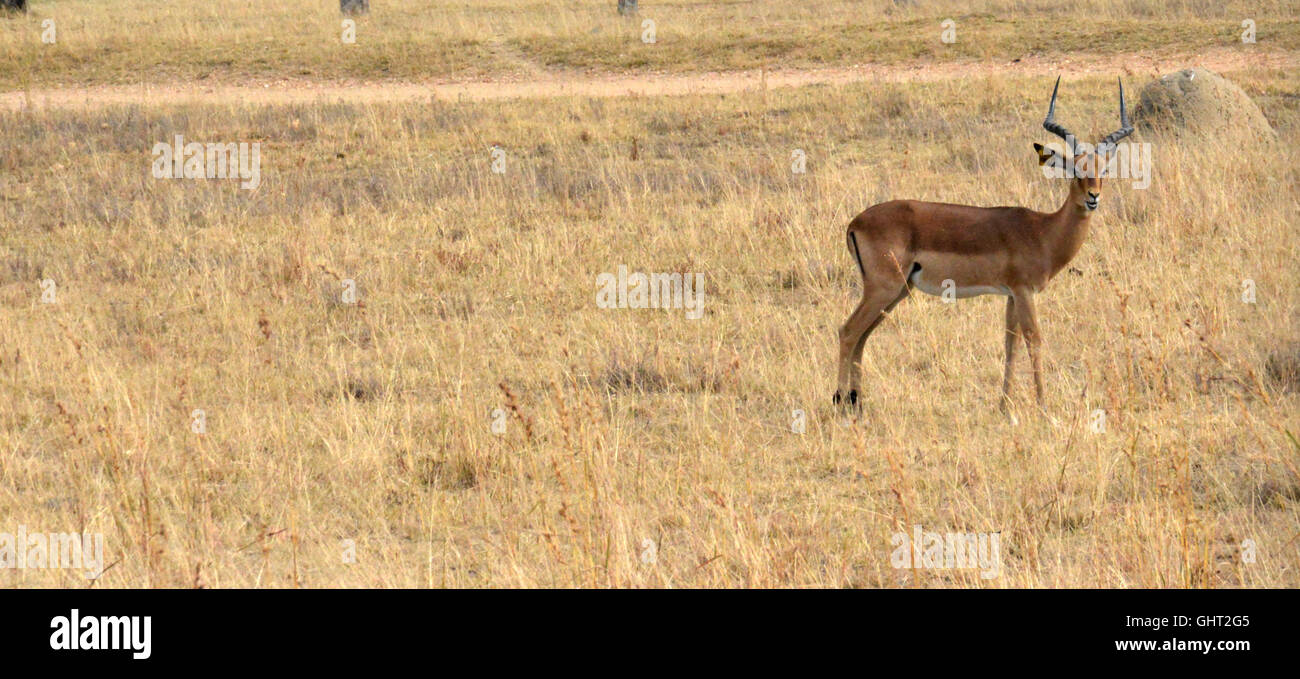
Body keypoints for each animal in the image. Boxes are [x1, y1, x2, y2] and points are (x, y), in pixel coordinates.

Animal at [833, 77, 1133, 412]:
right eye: (1075, 170)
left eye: (1103, 170)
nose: (1093, 197)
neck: (1043, 231)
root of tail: (855, 222)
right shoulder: (1024, 291)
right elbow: (1034, 340)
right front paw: (1042, 404)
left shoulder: (1011, 295)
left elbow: (1010, 343)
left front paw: (1005, 404)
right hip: (883, 289)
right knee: (848, 331)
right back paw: (840, 403)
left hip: (897, 291)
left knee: (862, 336)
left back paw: (857, 403)